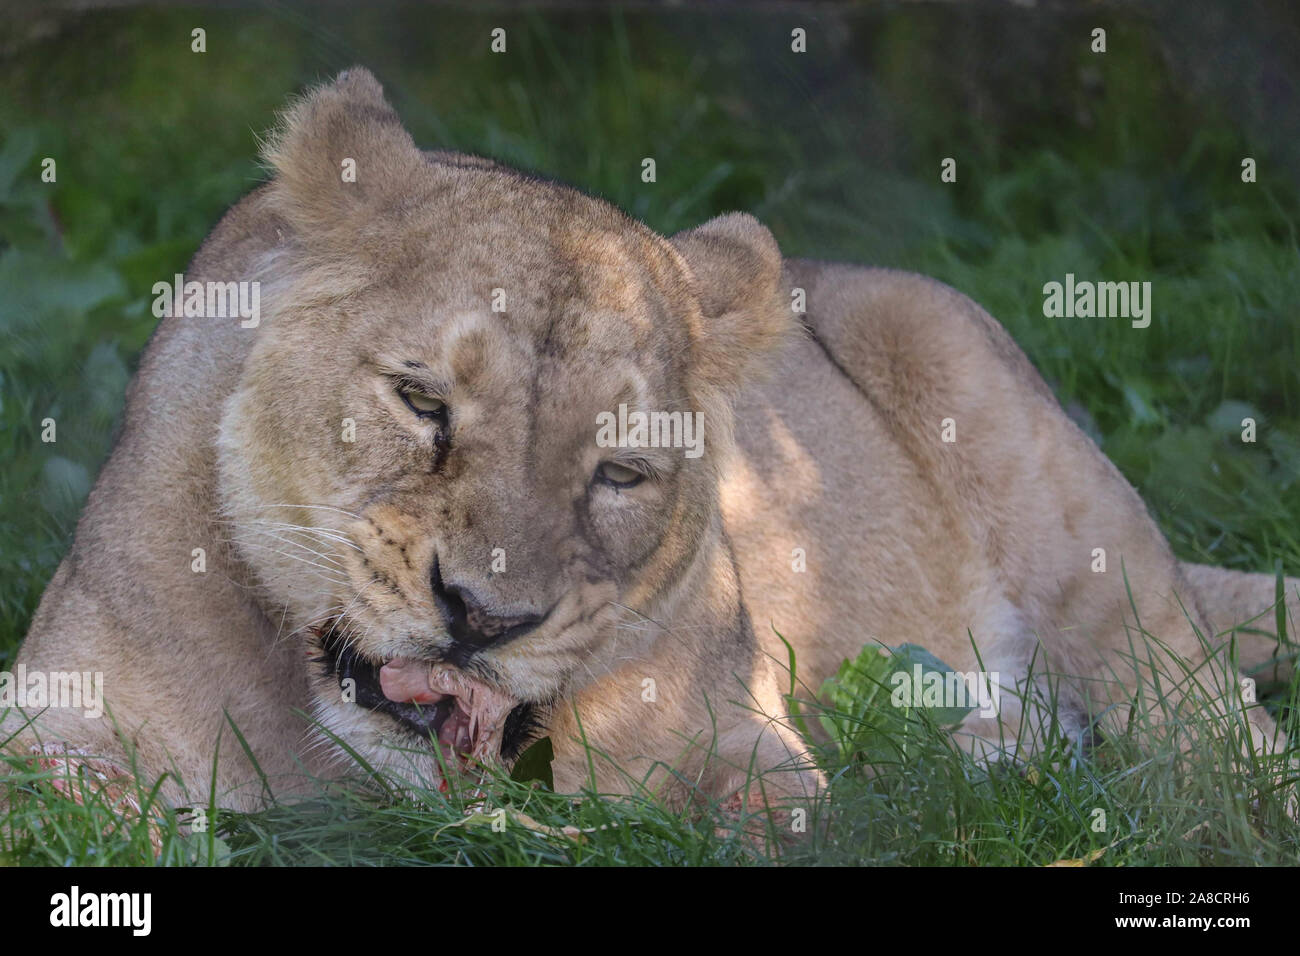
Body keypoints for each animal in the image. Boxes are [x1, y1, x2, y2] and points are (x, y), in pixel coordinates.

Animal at [6, 68, 1296, 821]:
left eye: (619, 471)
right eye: (422, 401)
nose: (481, 619)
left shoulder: (741, 736)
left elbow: (758, 813)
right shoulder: (56, 713)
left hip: (1035, 466)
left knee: (1209, 719)